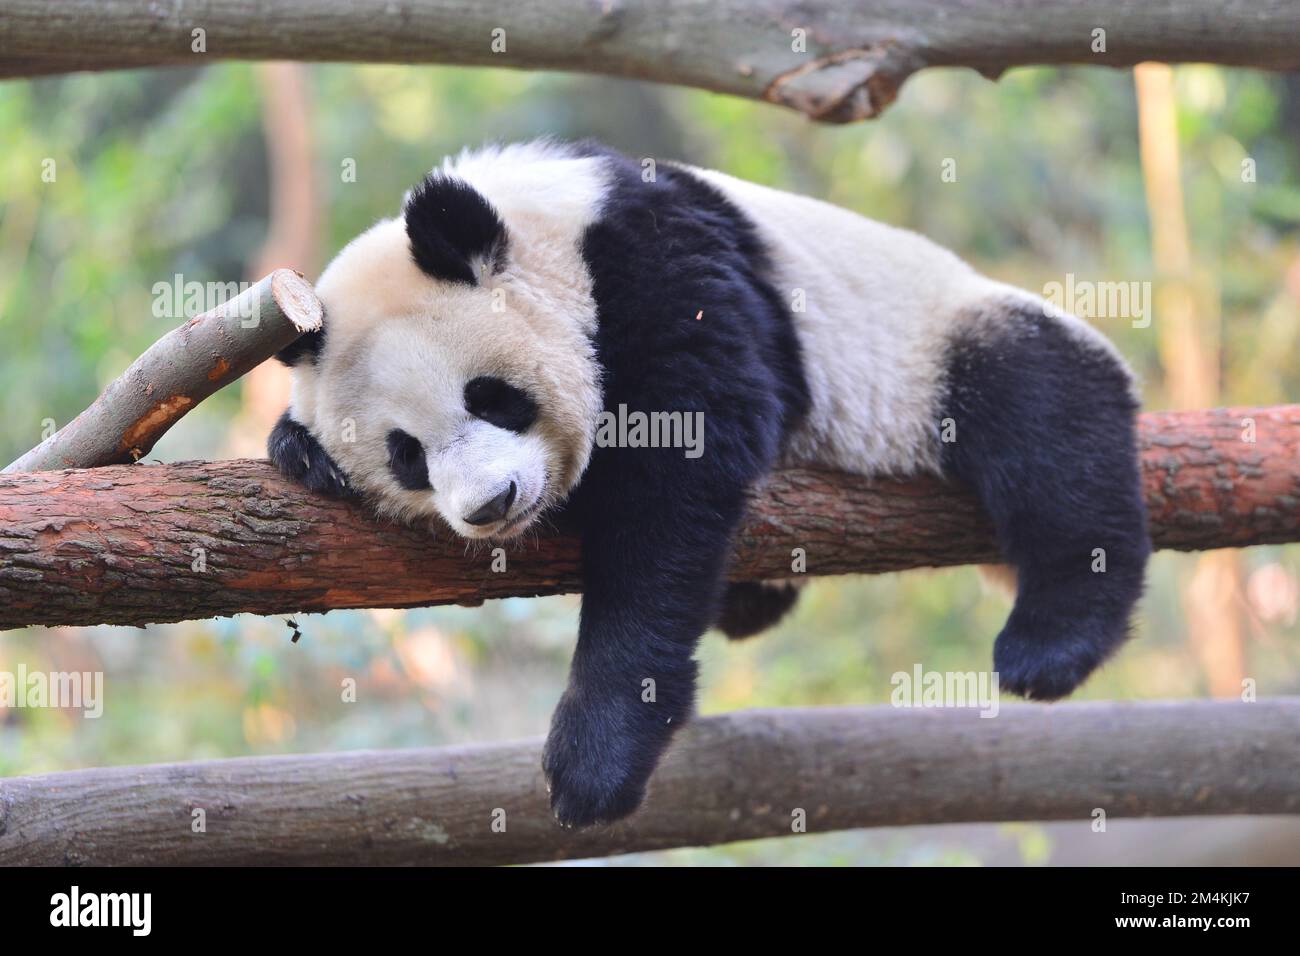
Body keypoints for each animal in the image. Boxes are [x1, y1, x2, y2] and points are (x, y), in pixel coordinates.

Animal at [269, 139, 1150, 827]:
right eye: (407, 456)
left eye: (491, 397)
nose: (491, 506)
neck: (550, 222)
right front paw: (300, 450)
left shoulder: (656, 268)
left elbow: (673, 492)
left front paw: (594, 762)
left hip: (930, 336)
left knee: (1043, 413)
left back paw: (1053, 640)